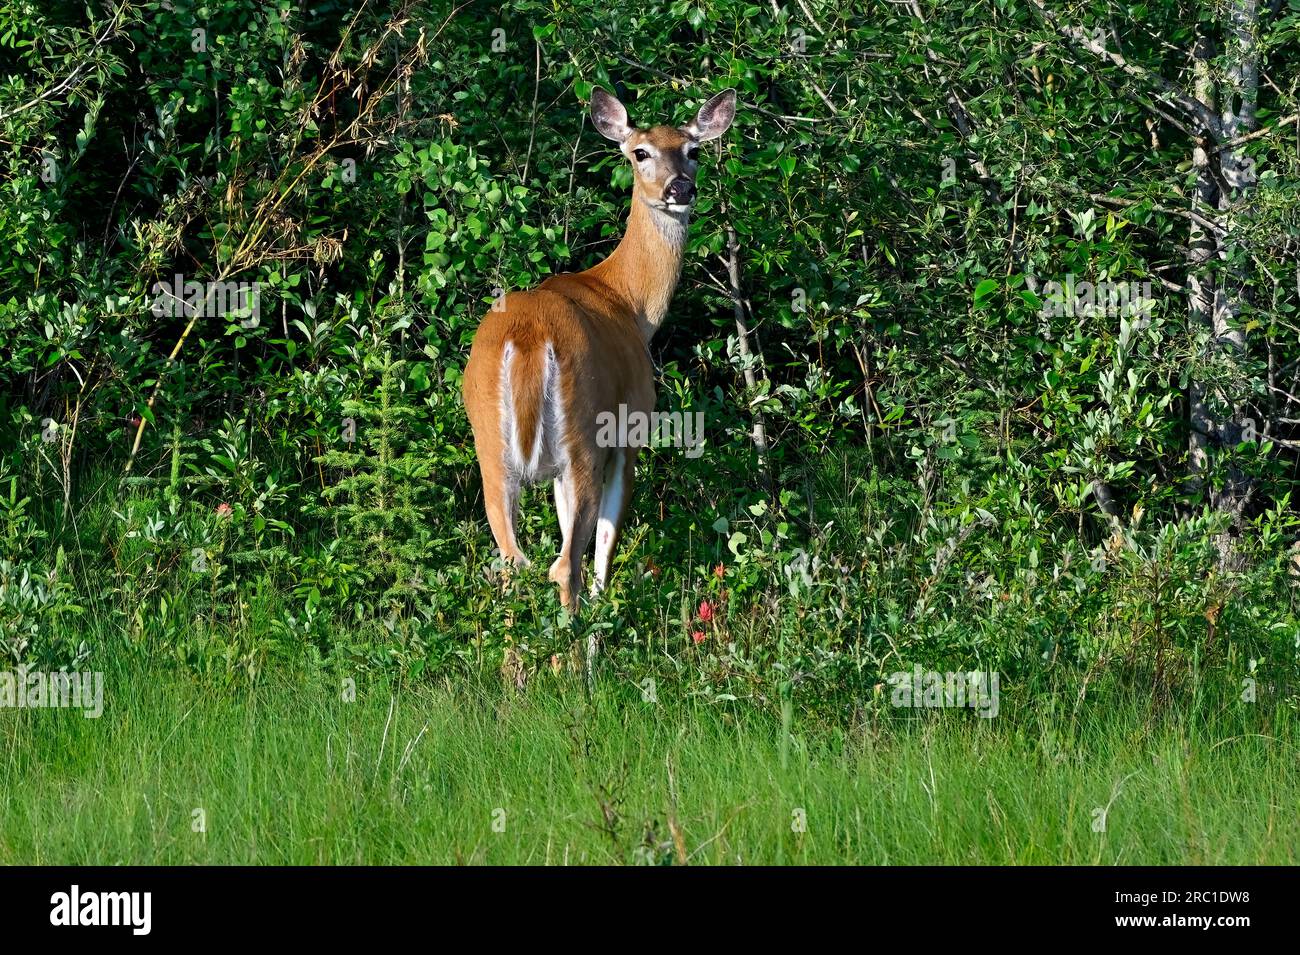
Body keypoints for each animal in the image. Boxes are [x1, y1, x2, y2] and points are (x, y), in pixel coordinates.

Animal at [462, 86, 737, 609]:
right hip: (585, 429)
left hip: (489, 440)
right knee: (563, 564)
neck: (629, 302)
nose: (680, 189)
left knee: (510, 559)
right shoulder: (631, 428)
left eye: (693, 151)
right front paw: (602, 604)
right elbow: (606, 542)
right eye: (640, 153)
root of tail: (528, 338)